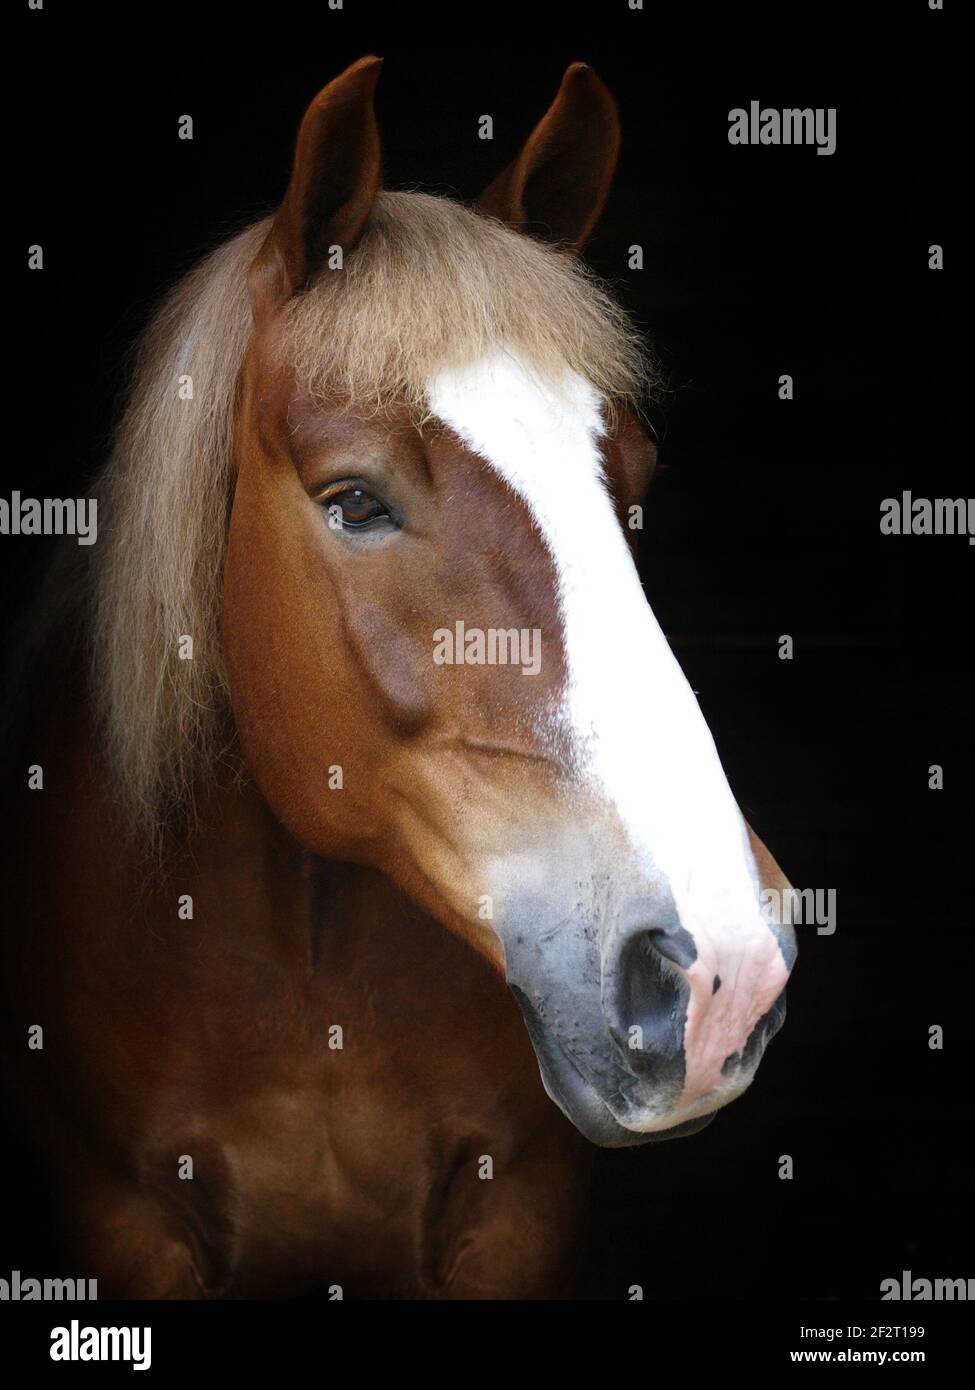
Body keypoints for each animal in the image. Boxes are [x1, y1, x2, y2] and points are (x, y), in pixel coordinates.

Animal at [1, 57, 797, 1299]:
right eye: (355, 501)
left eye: (634, 476)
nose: (723, 971)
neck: (309, 961)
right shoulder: (125, 1220)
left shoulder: (515, 1215)